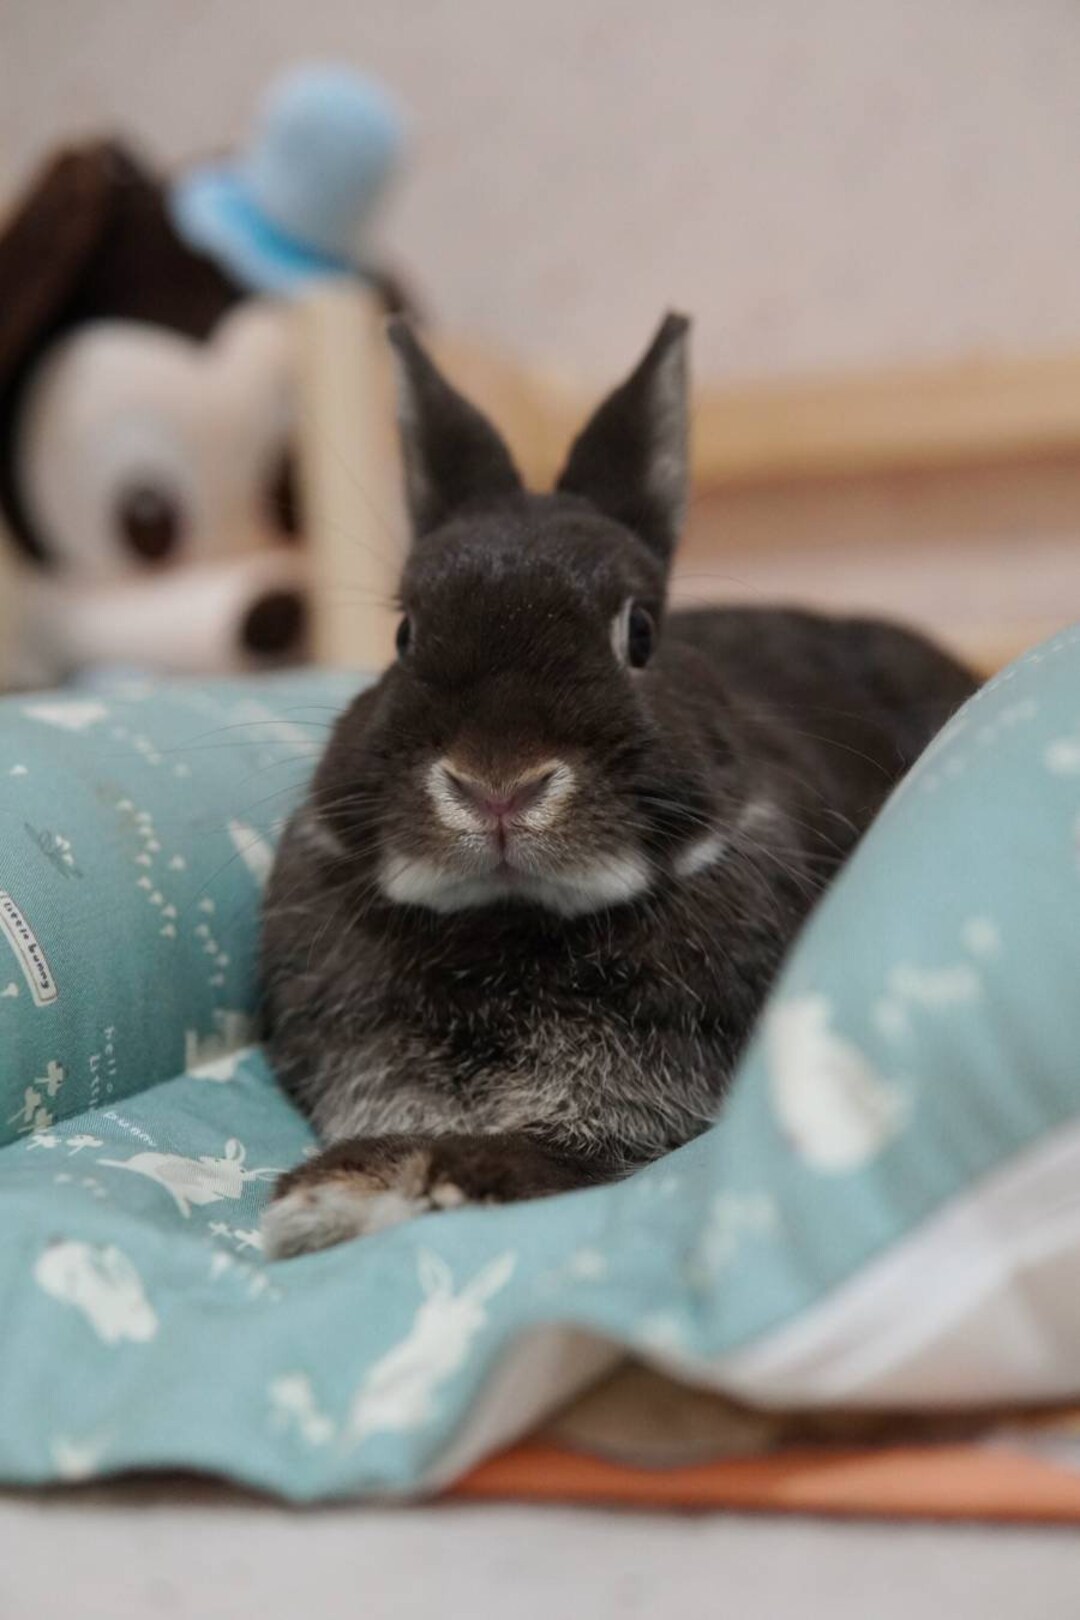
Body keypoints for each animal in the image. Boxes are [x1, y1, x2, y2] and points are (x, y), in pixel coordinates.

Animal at [260, 313, 976, 1260]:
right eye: (405, 635)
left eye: (639, 634)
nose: (497, 783)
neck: (511, 923)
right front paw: (327, 1193)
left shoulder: (634, 1114)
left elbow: (532, 1155)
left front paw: (335, 1196)